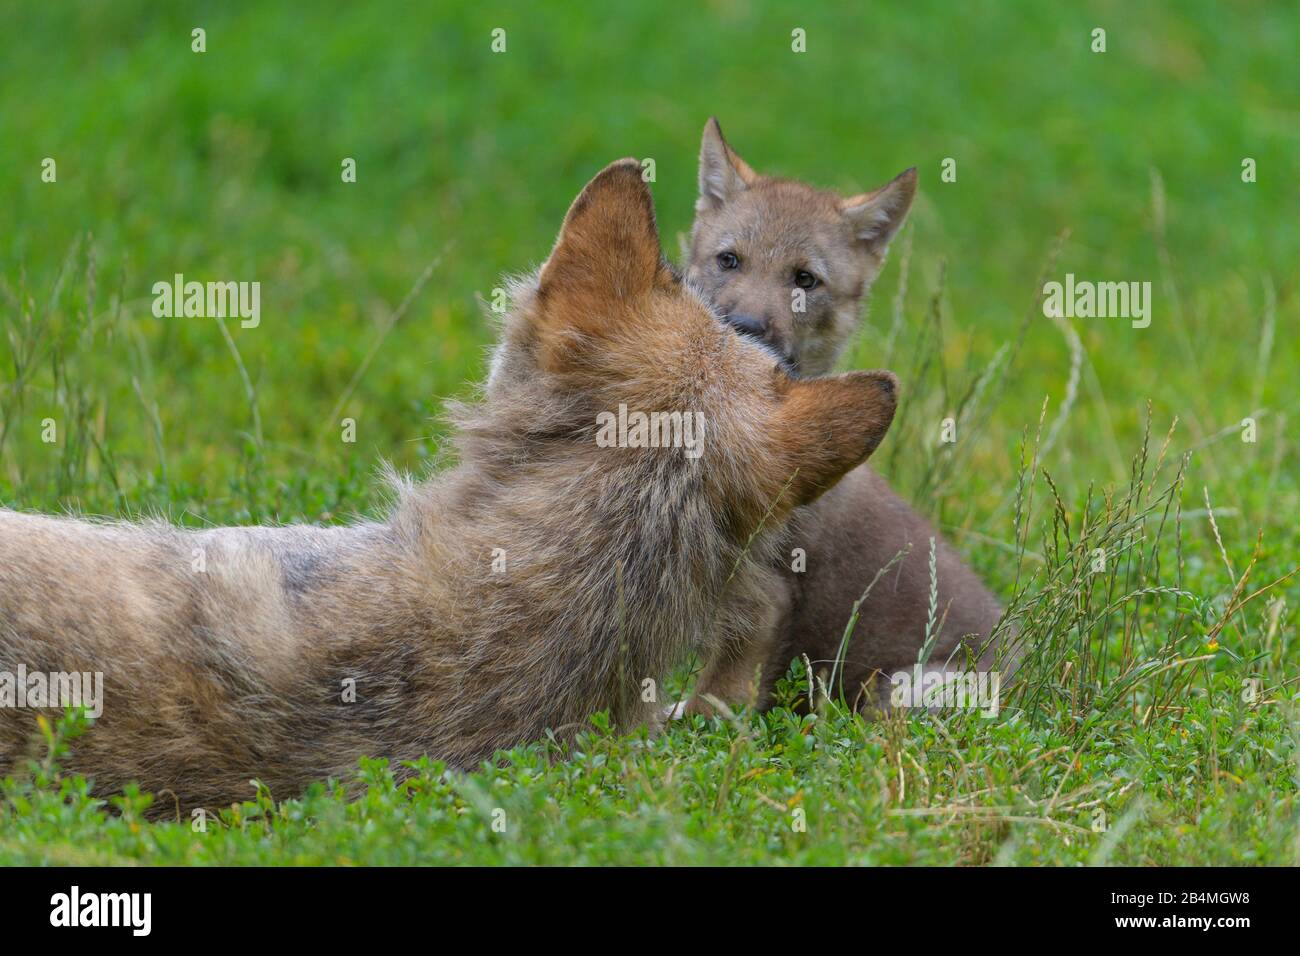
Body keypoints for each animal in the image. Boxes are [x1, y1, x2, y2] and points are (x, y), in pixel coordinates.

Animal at [684, 119, 1007, 713]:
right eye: (729, 260)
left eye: (805, 280)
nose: (744, 327)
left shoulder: (764, 596)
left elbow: (713, 702)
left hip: (914, 685)